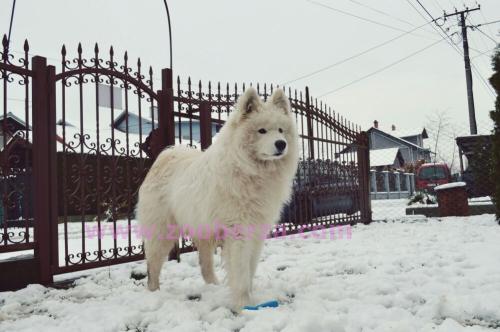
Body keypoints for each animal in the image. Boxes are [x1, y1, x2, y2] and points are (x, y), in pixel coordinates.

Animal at [138, 87, 296, 308]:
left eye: (281, 130)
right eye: (262, 131)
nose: (281, 144)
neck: (249, 170)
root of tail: (165, 157)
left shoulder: (256, 231)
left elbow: (250, 269)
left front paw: (250, 298)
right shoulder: (238, 232)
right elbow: (240, 271)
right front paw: (243, 304)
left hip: (203, 229)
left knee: (205, 264)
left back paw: (213, 286)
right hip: (161, 231)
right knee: (152, 265)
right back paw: (154, 292)